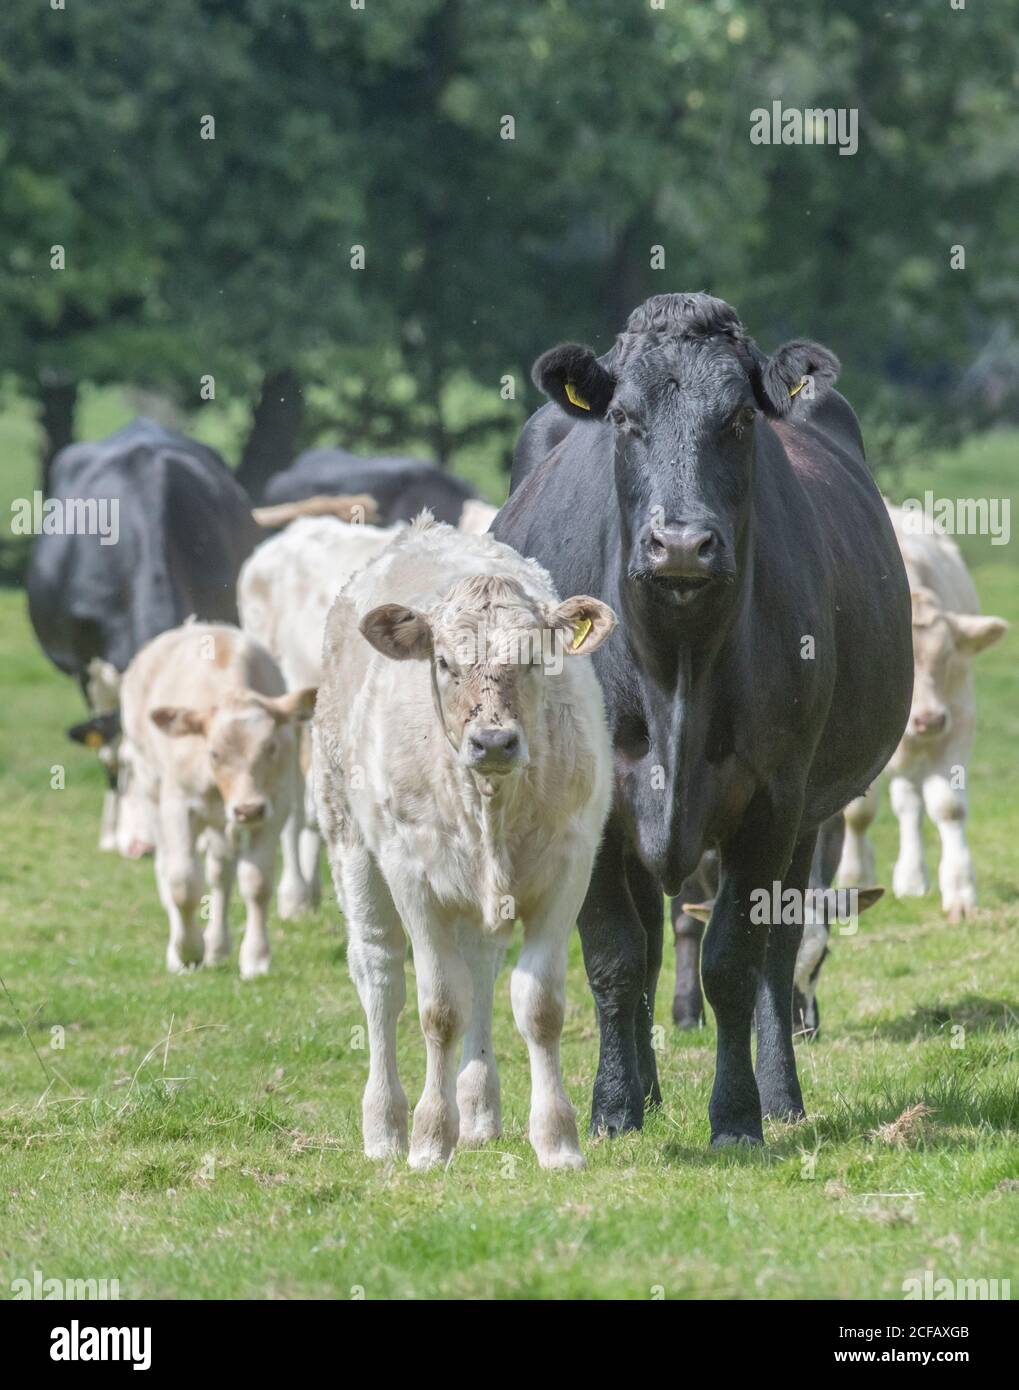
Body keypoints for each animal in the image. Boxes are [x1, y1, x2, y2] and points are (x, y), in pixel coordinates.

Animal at [119, 621, 315, 978]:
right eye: (213, 753)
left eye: (271, 747)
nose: (248, 808)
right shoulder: (178, 805)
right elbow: (182, 882)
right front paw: (187, 952)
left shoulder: (275, 806)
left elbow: (256, 881)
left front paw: (255, 958)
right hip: (152, 789)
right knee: (168, 869)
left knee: (221, 873)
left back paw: (217, 944)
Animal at [313, 515, 616, 1169]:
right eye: (445, 661)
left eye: (534, 658)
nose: (494, 741)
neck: (491, 802)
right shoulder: (410, 873)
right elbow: (440, 1007)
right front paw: (430, 1137)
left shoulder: (569, 866)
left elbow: (539, 1005)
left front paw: (557, 1139)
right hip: (350, 842)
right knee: (380, 976)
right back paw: (385, 1127)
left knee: (480, 966)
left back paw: (478, 1112)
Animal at [491, 291, 913, 1145]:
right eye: (623, 418)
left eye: (739, 418)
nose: (680, 543)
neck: (676, 664)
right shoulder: (589, 802)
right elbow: (617, 957)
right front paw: (613, 1110)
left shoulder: (774, 800)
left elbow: (734, 959)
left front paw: (739, 1115)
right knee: (651, 945)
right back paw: (645, 1091)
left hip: (806, 813)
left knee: (775, 950)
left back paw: (781, 1096)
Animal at [837, 504, 1007, 921]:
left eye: (946, 657)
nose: (928, 719)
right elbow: (857, 814)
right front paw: (853, 876)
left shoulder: (958, 718)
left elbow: (948, 807)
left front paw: (960, 892)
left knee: (909, 802)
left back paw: (912, 878)